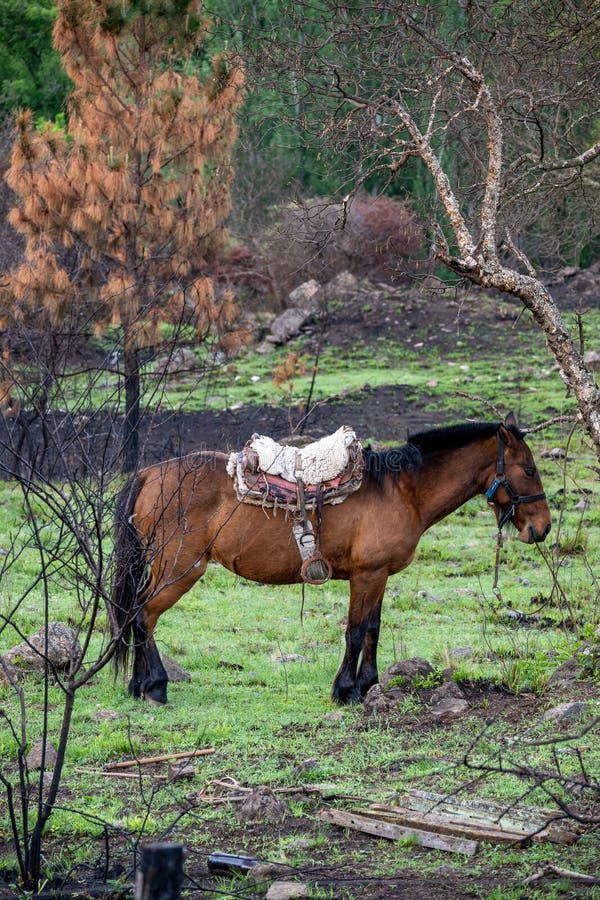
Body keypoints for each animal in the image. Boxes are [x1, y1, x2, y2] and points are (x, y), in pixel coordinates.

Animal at [108, 412, 551, 705]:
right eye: (529, 469)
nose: (542, 528)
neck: (401, 490)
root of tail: (147, 473)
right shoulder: (367, 575)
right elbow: (356, 630)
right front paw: (345, 690)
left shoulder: (379, 576)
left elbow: (373, 628)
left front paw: (368, 684)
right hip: (180, 568)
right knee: (144, 615)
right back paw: (155, 685)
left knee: (134, 614)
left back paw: (136, 685)